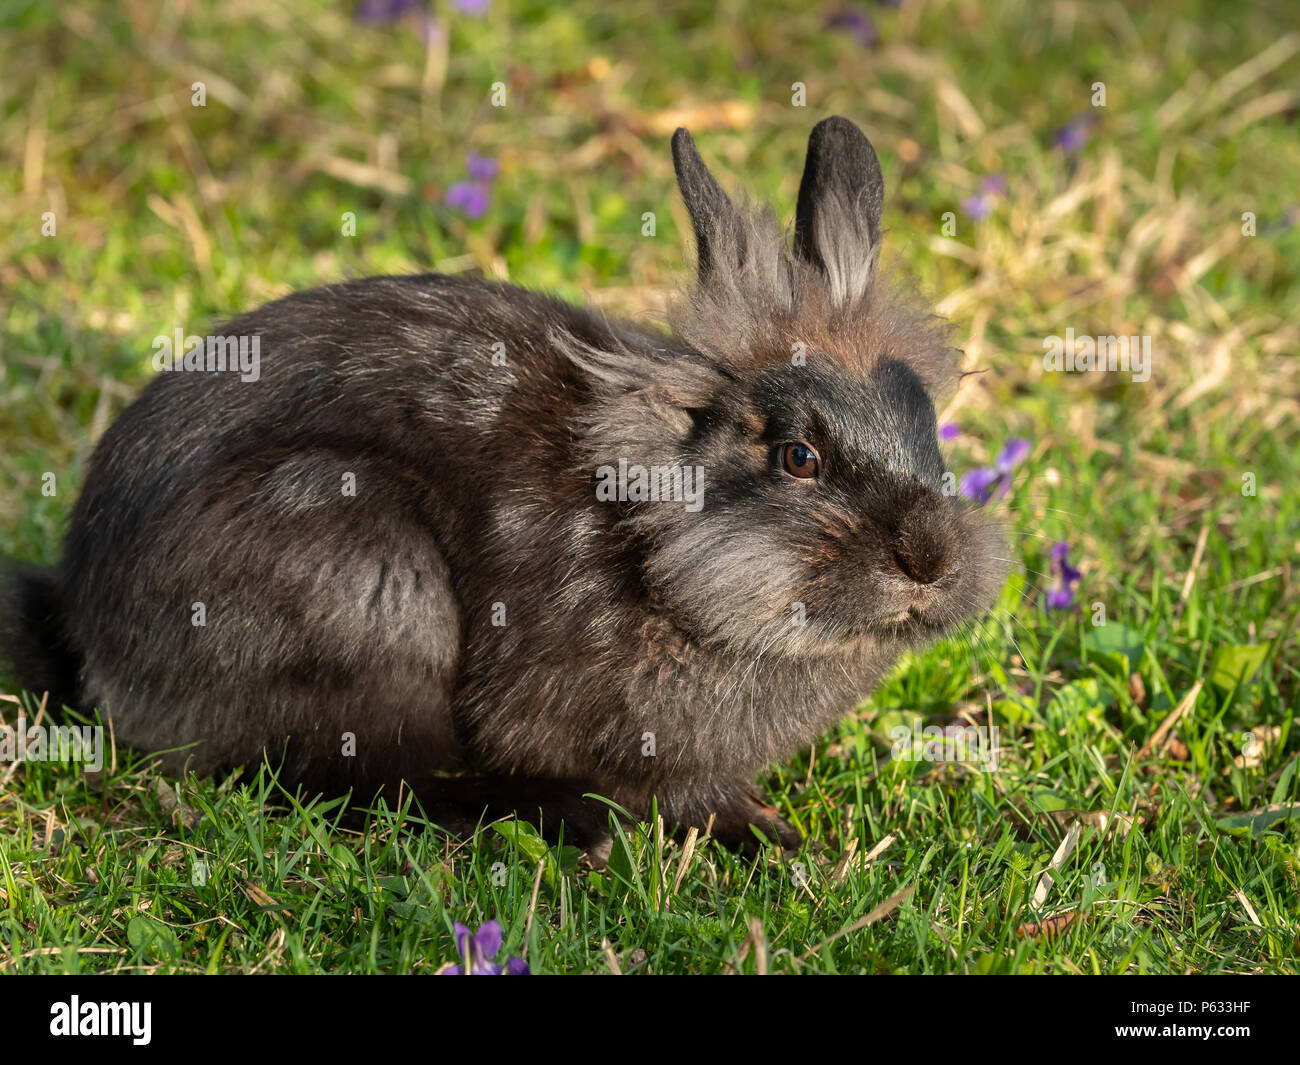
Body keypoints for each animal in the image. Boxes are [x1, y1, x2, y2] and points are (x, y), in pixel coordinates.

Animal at [1, 116, 1007, 860]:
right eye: (799, 456)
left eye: (925, 425)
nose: (932, 560)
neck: (655, 543)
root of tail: (95, 631)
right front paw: (764, 832)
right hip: (360, 569)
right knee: (372, 777)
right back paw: (569, 822)